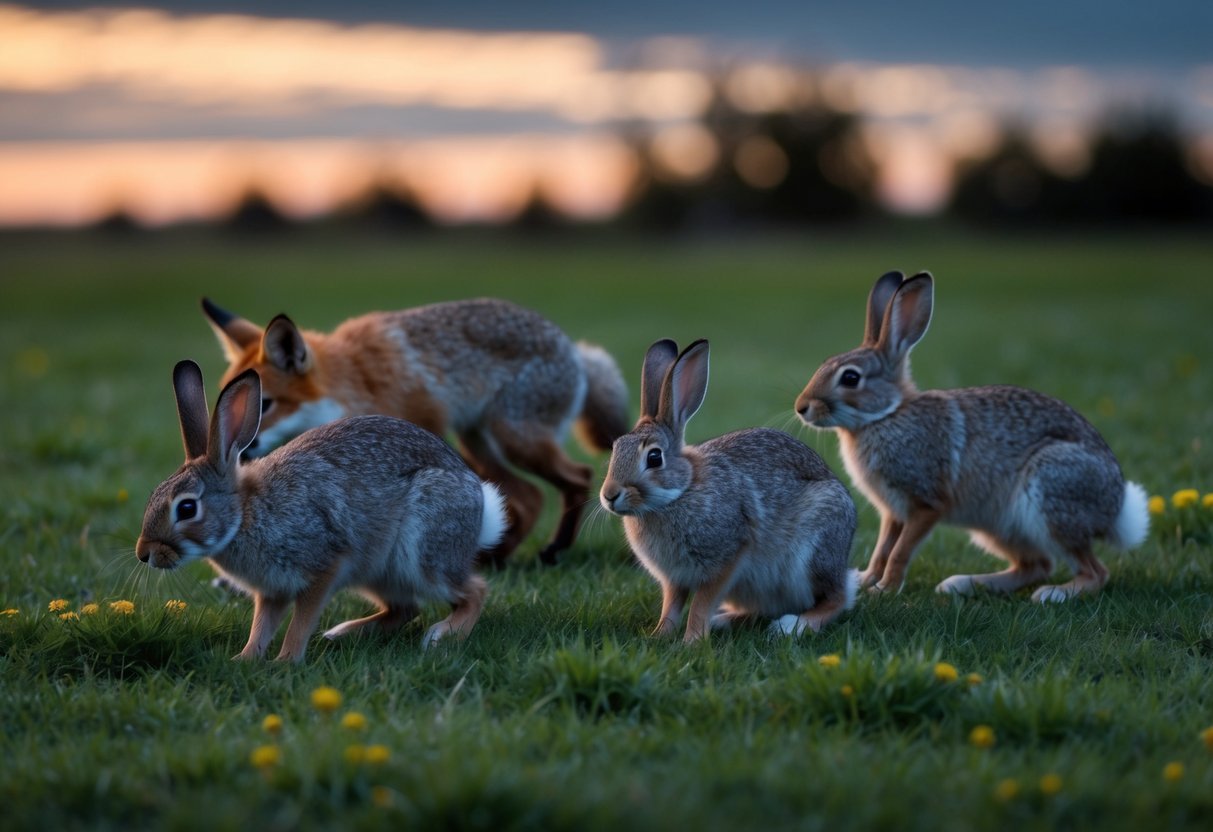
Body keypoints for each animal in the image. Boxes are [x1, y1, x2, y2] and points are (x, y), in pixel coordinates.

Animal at [135, 360, 507, 662]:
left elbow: (300, 621)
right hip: (377, 573)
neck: (245, 514)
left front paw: (285, 661)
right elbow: (262, 625)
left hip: (421, 553)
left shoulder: (325, 565)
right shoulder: (272, 590)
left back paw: (443, 636)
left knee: (474, 591)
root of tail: (479, 504)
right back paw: (342, 633)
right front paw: (244, 659)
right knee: (405, 609)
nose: (144, 554)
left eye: (186, 508)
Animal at [600, 339, 859, 643]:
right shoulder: (674, 578)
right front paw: (659, 635)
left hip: (813, 553)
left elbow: (700, 604)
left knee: (837, 598)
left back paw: (792, 626)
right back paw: (723, 621)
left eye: (654, 458)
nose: (609, 495)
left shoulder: (727, 558)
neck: (679, 492)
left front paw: (691, 642)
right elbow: (672, 605)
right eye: (616, 448)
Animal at [795, 271, 1149, 603]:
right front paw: (866, 580)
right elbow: (883, 549)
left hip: (1051, 495)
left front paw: (884, 589)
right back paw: (961, 584)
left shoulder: (926, 505)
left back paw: (1053, 594)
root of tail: (1116, 508)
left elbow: (899, 552)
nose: (802, 407)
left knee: (1094, 571)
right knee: (1036, 565)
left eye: (850, 378)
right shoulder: (893, 512)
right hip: (998, 526)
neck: (886, 415)